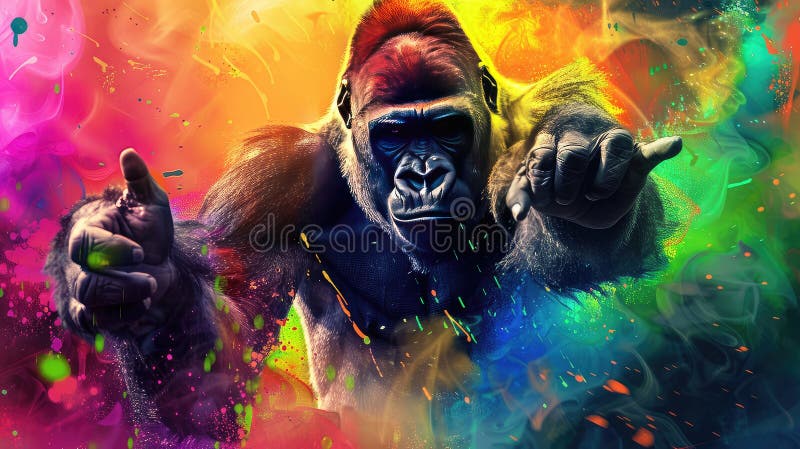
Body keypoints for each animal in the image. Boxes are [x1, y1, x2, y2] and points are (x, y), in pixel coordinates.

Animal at [45, 0, 681, 445]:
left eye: (447, 126)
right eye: (394, 133)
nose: (422, 175)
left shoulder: (542, 116)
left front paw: (588, 191)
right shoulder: (273, 182)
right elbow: (211, 387)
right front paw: (146, 279)